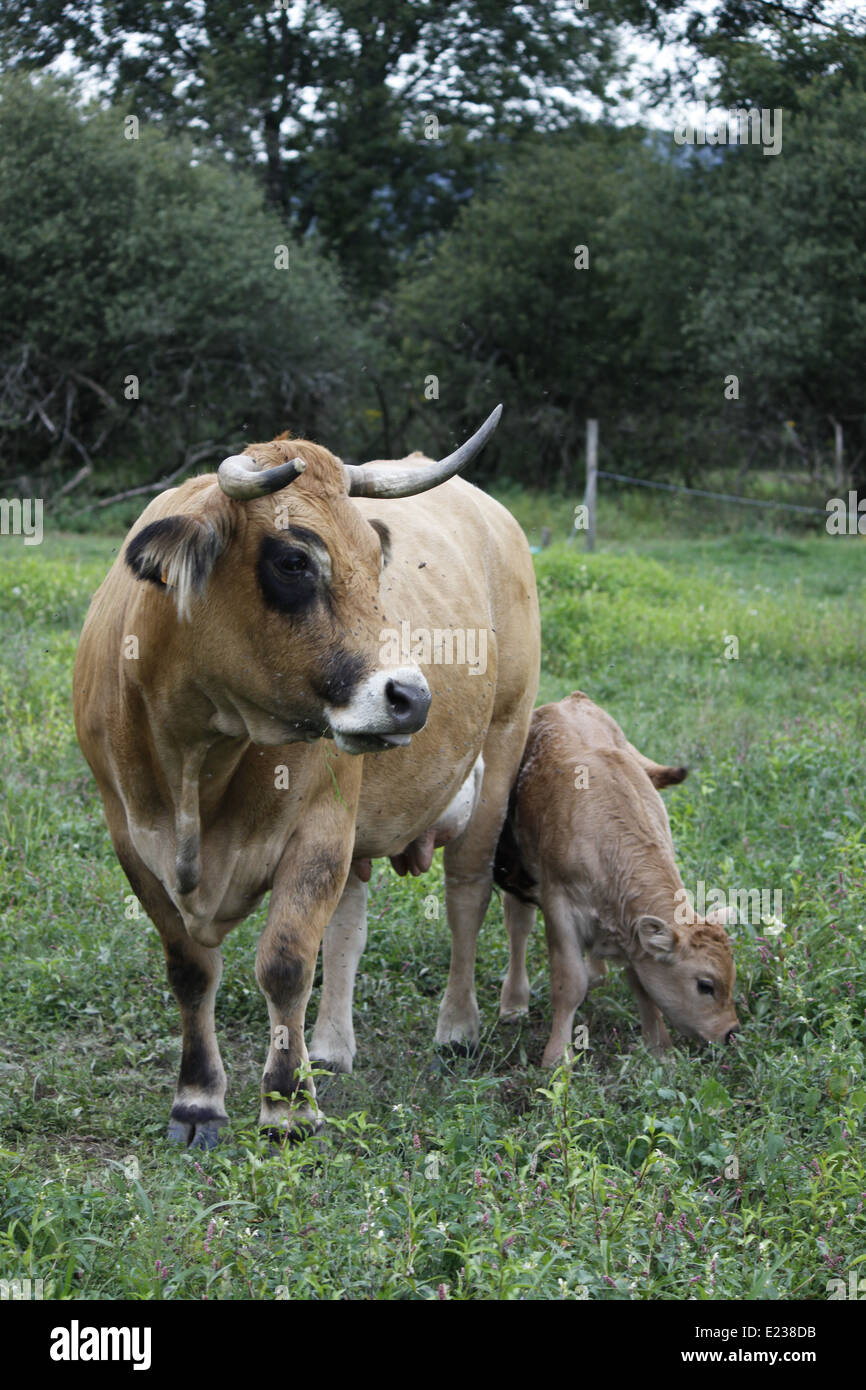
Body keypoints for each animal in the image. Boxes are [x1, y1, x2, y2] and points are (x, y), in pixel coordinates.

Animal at [73, 408, 540, 1146]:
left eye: (375, 560)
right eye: (294, 561)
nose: (413, 697)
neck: (197, 757)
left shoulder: (316, 828)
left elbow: (286, 962)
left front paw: (288, 1102)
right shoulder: (130, 841)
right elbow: (191, 971)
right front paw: (197, 1099)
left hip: (499, 752)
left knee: (466, 895)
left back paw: (458, 1025)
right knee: (350, 922)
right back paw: (331, 1044)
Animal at [494, 692, 739, 1064]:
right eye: (705, 985)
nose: (731, 1033)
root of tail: (572, 699)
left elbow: (641, 983)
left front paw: (660, 1048)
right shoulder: (559, 908)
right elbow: (569, 983)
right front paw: (557, 1056)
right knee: (518, 928)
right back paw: (514, 1002)